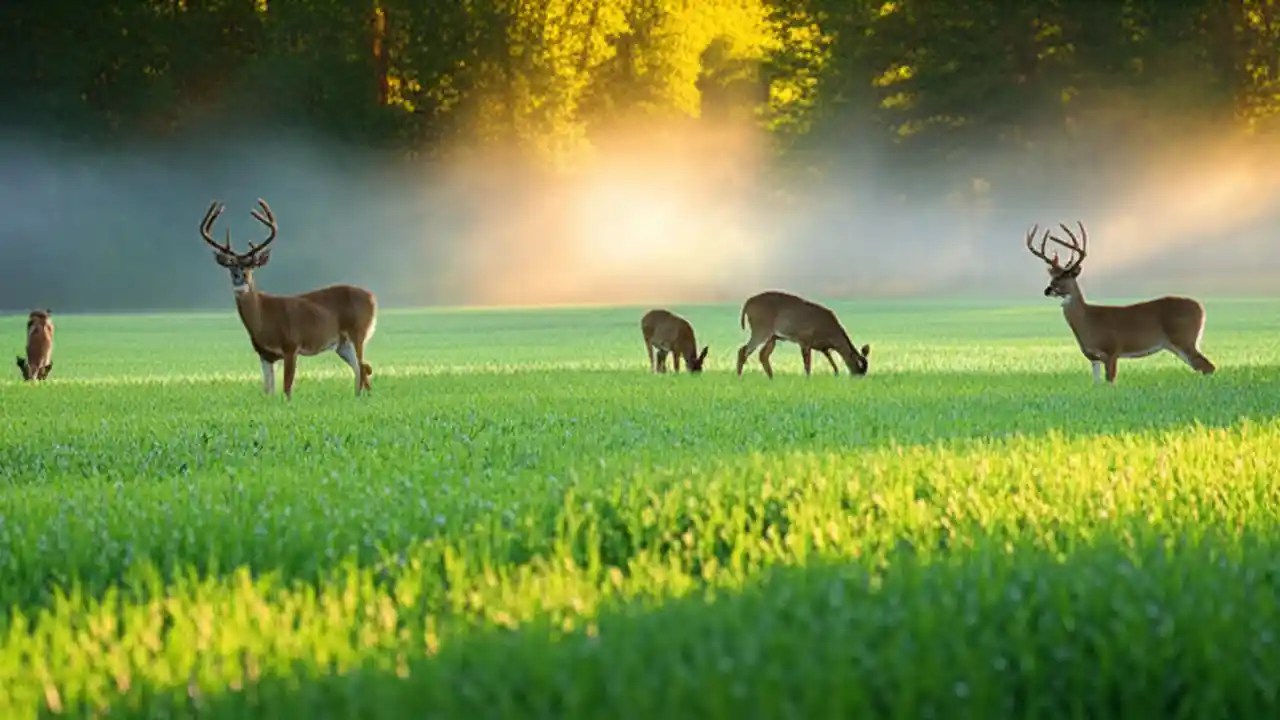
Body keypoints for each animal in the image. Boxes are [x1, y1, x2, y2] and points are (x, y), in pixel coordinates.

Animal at [199, 198, 378, 399]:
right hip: (342, 344)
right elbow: (268, 391)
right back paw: (359, 398)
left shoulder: (291, 346)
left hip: (358, 332)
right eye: (231, 267)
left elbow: (287, 388)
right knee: (361, 369)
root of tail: (373, 297)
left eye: (251, 266)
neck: (263, 318)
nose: (240, 277)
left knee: (363, 367)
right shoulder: (264, 354)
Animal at [736, 291, 871, 379]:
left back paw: (771, 378)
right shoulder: (805, 339)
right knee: (744, 350)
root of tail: (747, 303)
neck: (831, 333)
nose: (856, 377)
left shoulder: (823, 347)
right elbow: (807, 364)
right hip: (761, 328)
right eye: (859, 366)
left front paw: (836, 374)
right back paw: (739, 377)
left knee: (763, 355)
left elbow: (831, 361)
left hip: (773, 336)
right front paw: (808, 379)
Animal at [1025, 221, 1215, 384]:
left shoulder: (1112, 350)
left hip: (1184, 339)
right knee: (1203, 367)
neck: (1088, 321)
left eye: (1066, 276)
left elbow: (1111, 381)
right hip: (1178, 344)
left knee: (1208, 367)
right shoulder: (1092, 357)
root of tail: (1201, 308)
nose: (1048, 290)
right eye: (1053, 277)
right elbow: (1097, 384)